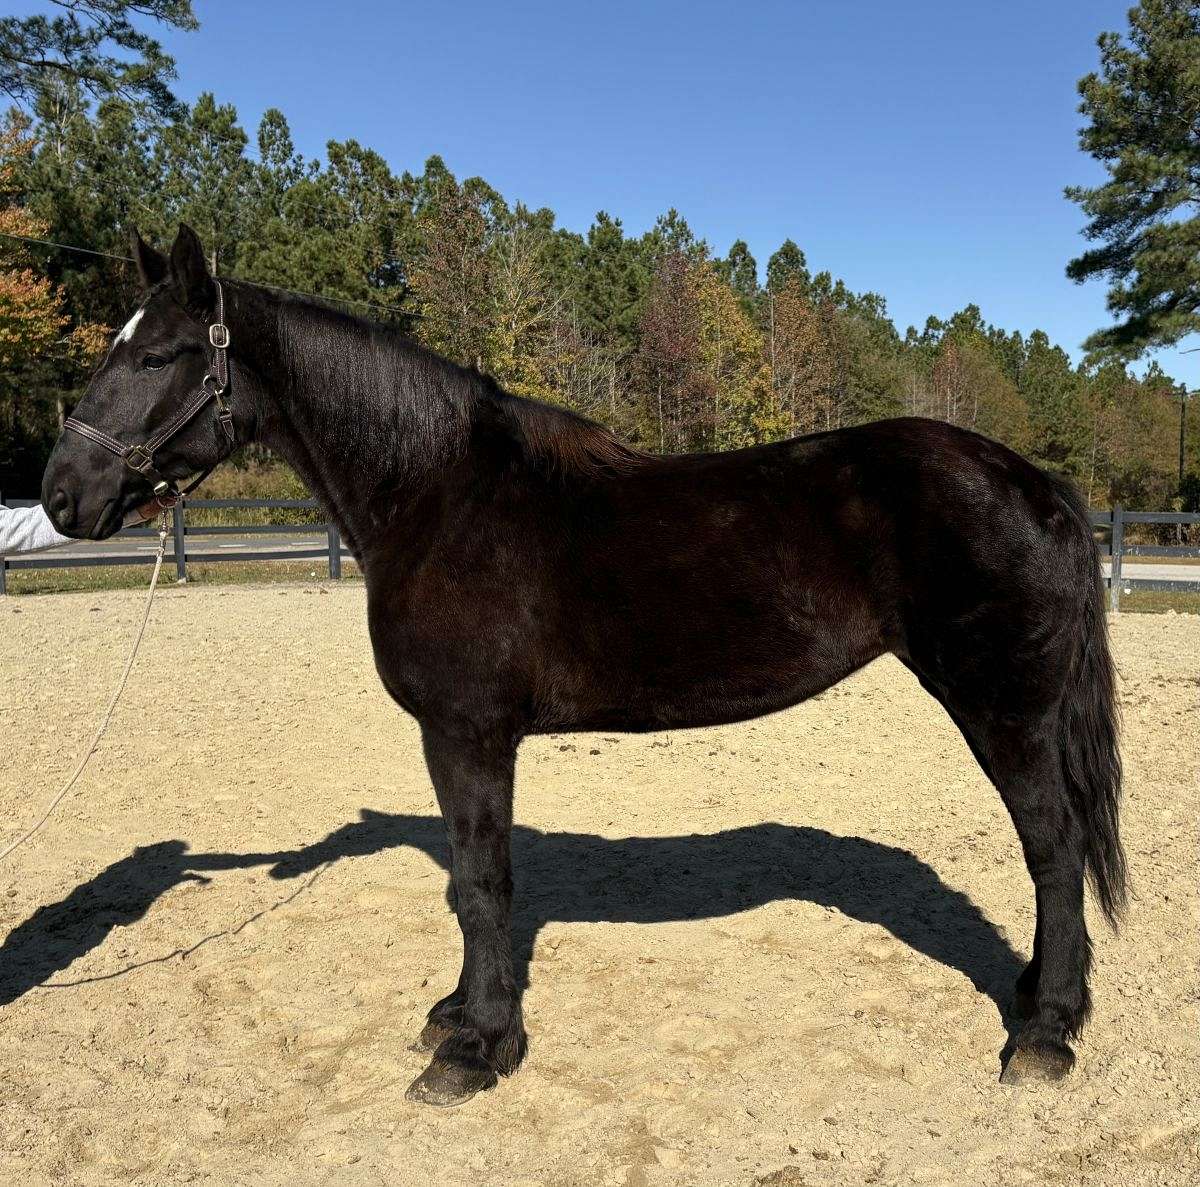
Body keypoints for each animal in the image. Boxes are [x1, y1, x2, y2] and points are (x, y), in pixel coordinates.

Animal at [41, 225, 1125, 1107]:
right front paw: (458, 1015)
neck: (436, 490)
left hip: (1003, 708)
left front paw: (476, 1049)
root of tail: (1041, 484)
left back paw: (1043, 1032)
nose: (62, 495)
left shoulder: (468, 733)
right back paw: (1046, 997)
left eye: (162, 353)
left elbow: (483, 883)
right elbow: (469, 884)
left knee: (1054, 847)